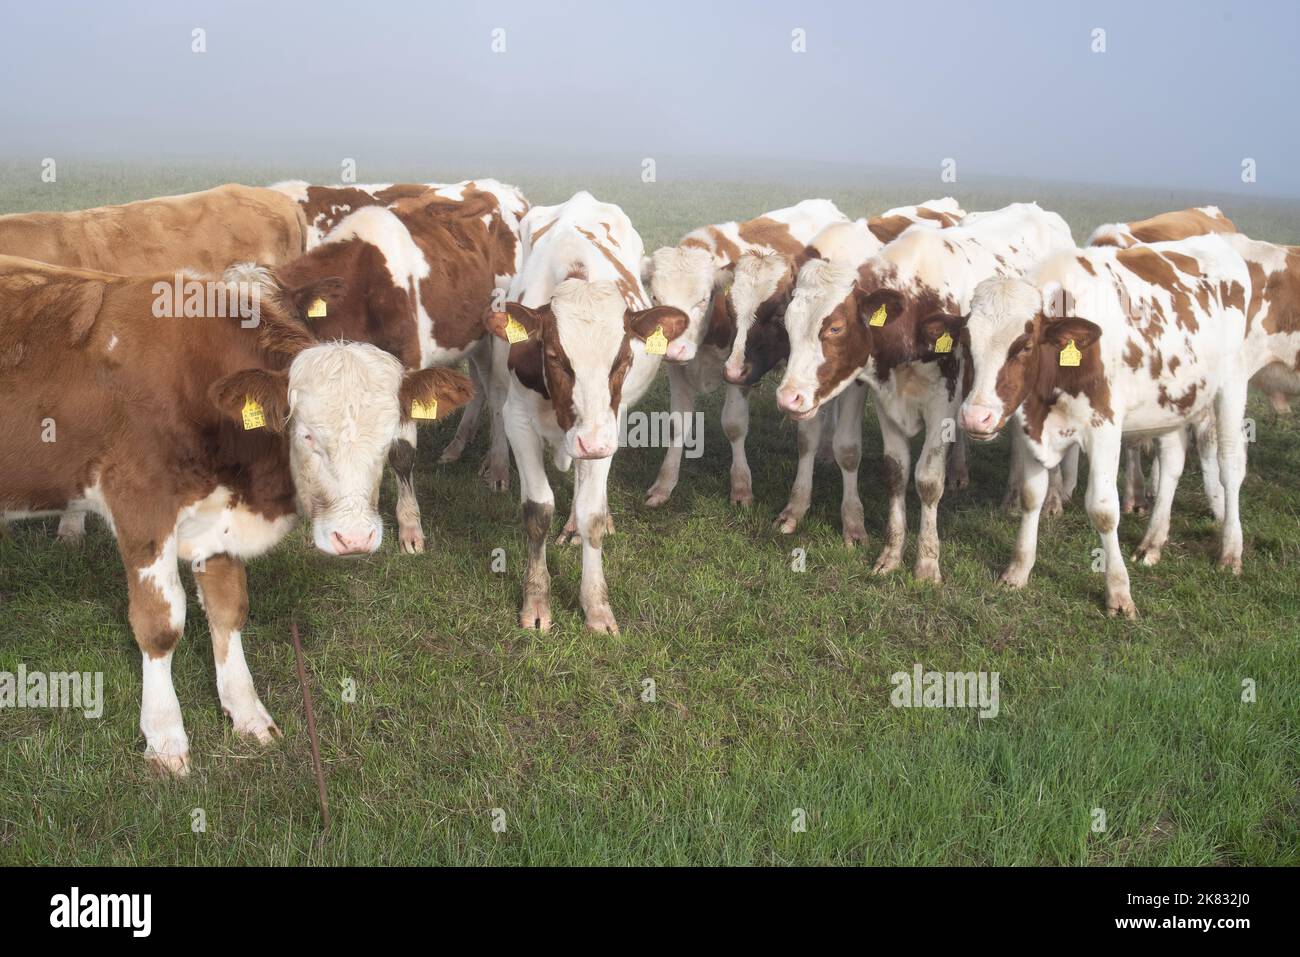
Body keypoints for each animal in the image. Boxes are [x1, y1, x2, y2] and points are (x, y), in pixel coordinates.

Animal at [0, 255, 473, 774]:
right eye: (305, 433)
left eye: (390, 438)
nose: (354, 538)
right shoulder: (139, 505)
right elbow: (161, 624)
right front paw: (165, 740)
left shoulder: (219, 518)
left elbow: (228, 610)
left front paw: (247, 713)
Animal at [483, 192, 688, 634]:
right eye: (555, 357)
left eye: (623, 359)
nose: (591, 442)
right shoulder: (519, 420)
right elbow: (538, 508)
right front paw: (536, 599)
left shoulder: (605, 427)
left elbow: (591, 511)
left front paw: (596, 604)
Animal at [777, 203, 1075, 581]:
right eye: (787, 325)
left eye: (835, 328)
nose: (788, 397)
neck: (917, 307)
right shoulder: (887, 400)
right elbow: (896, 473)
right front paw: (891, 554)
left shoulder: (942, 407)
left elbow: (928, 481)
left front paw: (927, 563)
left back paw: (1049, 498)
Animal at [958, 234, 1255, 617]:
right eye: (967, 341)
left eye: (1024, 345)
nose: (975, 417)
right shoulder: (1030, 426)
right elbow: (1031, 496)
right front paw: (1018, 570)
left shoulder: (1104, 428)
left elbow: (1102, 510)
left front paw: (1118, 592)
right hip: (1176, 402)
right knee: (1172, 465)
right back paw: (1152, 542)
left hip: (1232, 386)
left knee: (1230, 466)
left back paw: (1231, 551)